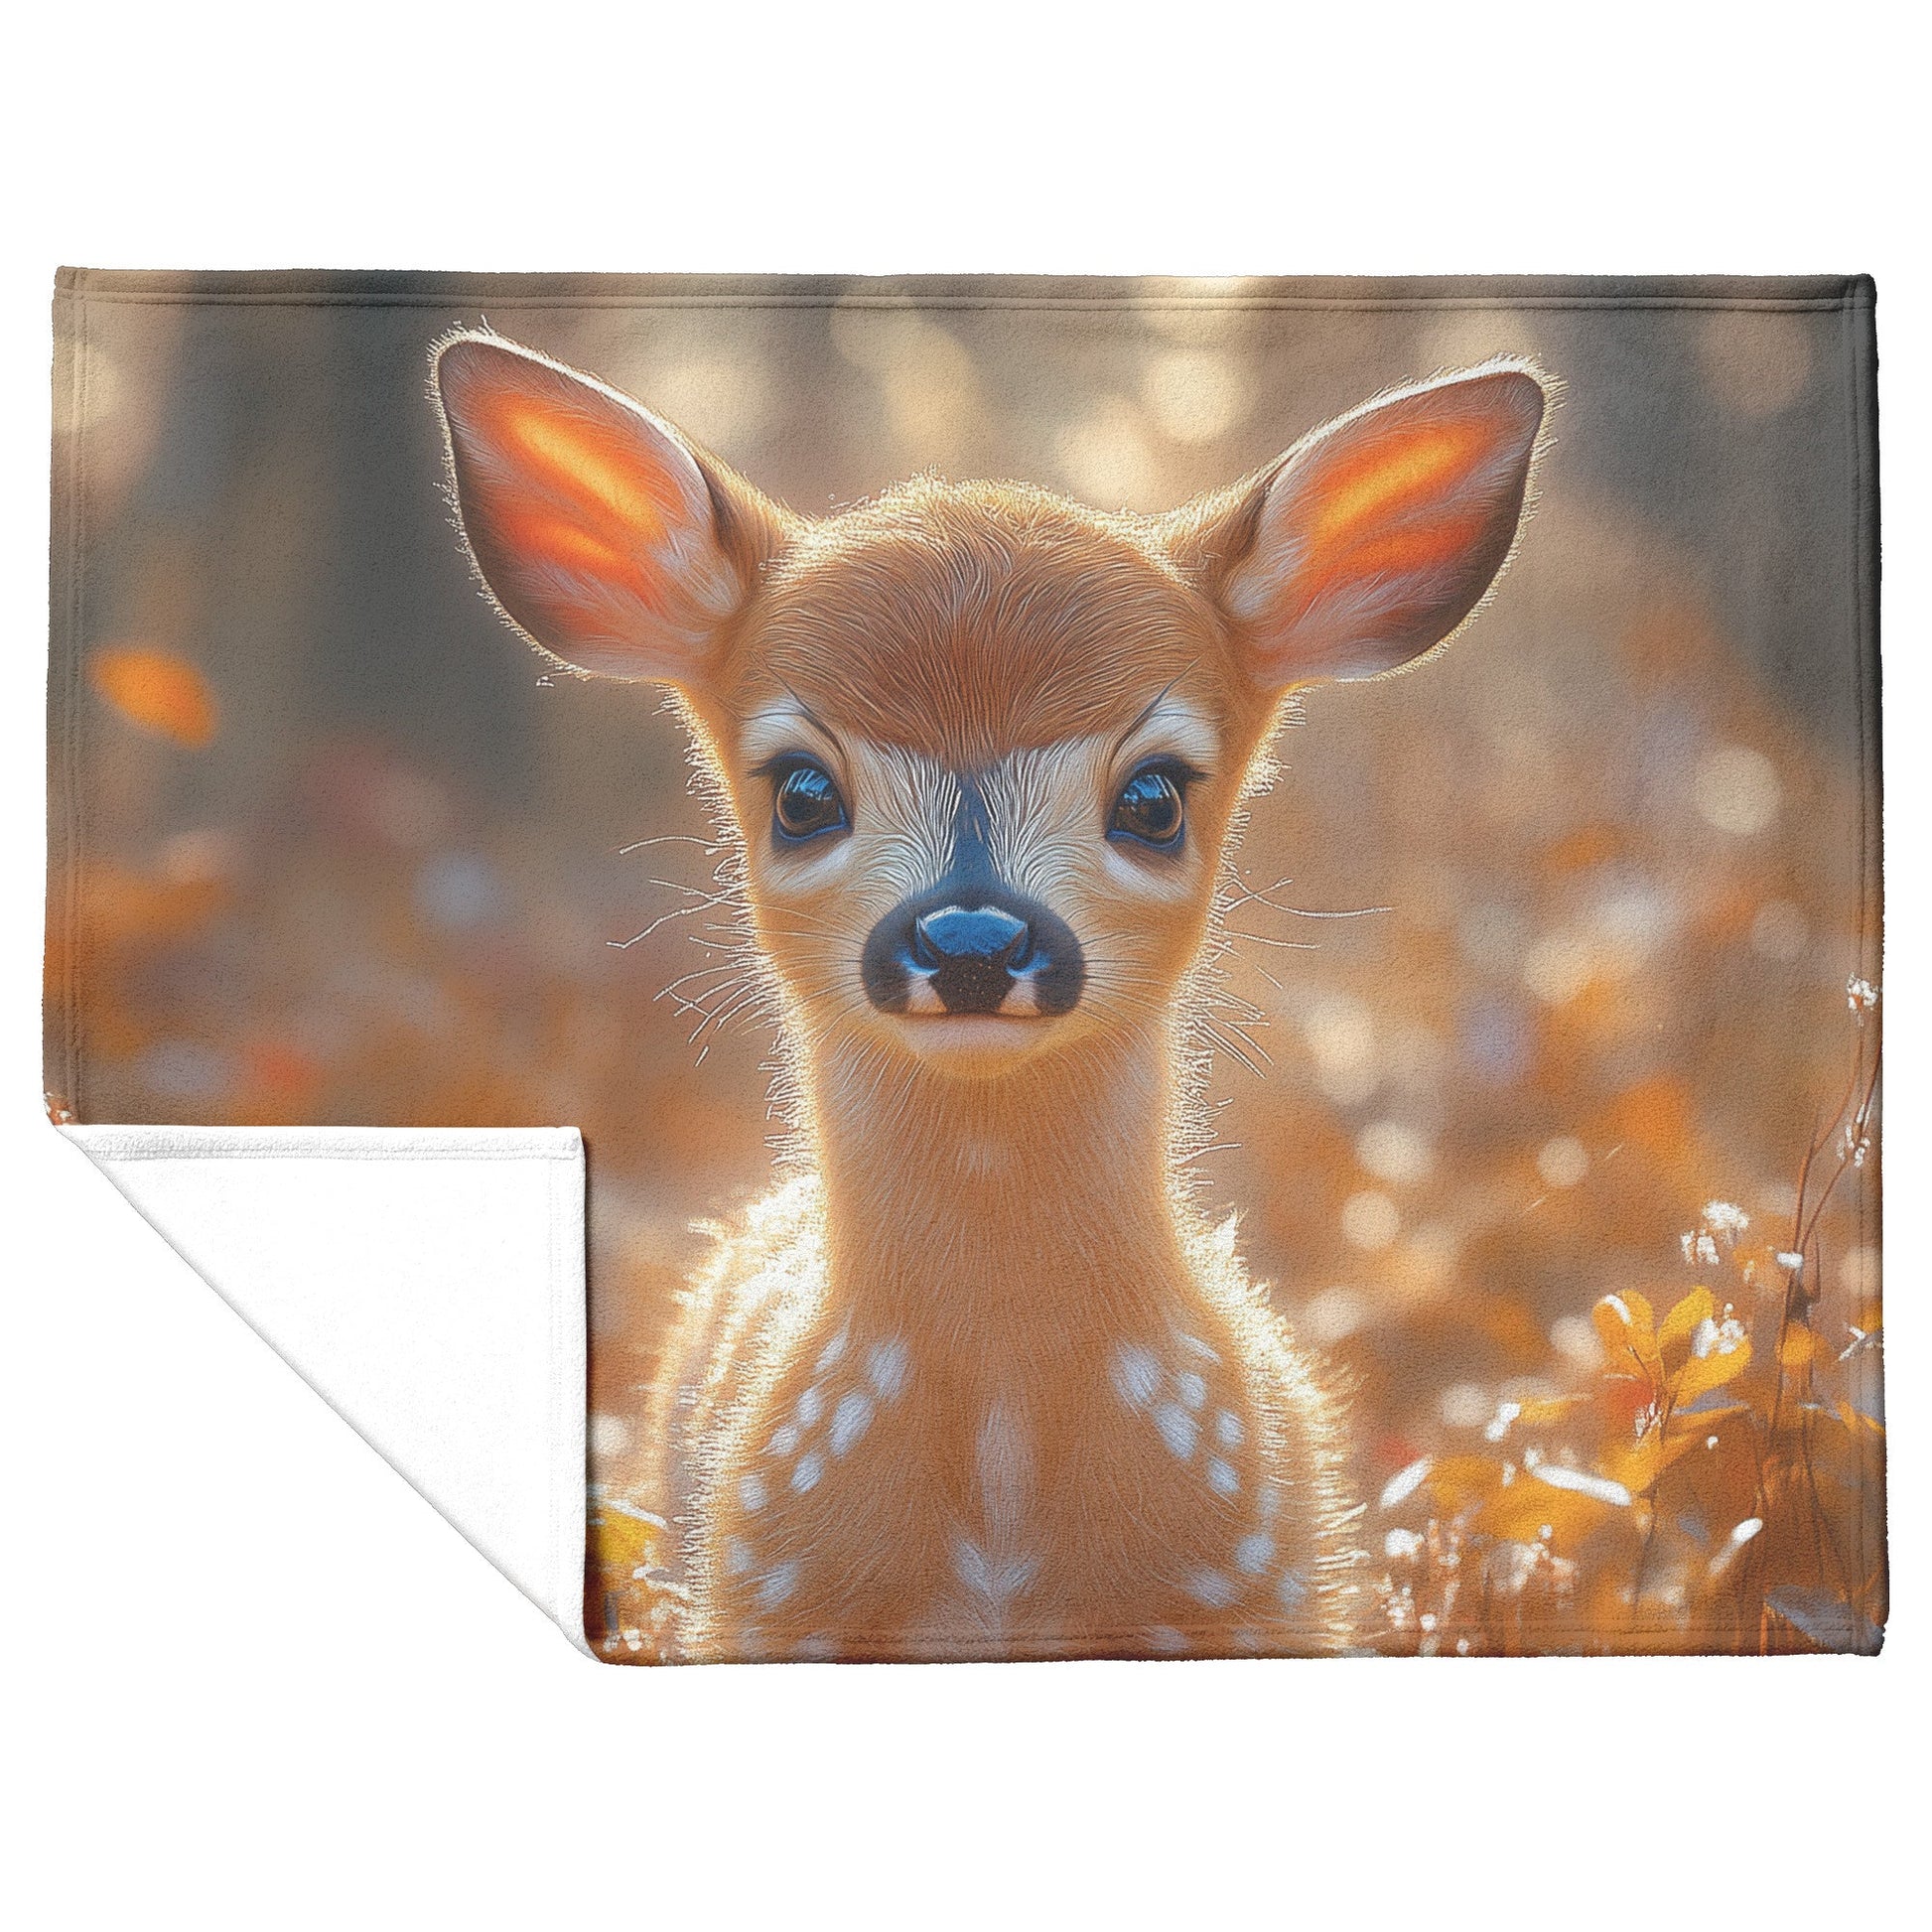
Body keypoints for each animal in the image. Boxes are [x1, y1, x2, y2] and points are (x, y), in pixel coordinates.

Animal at [433, 328, 1550, 1661]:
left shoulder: (1250, 1599)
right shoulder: (772, 1609)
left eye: (1154, 794)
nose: (968, 936)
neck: (1003, 1472)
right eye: (800, 788)